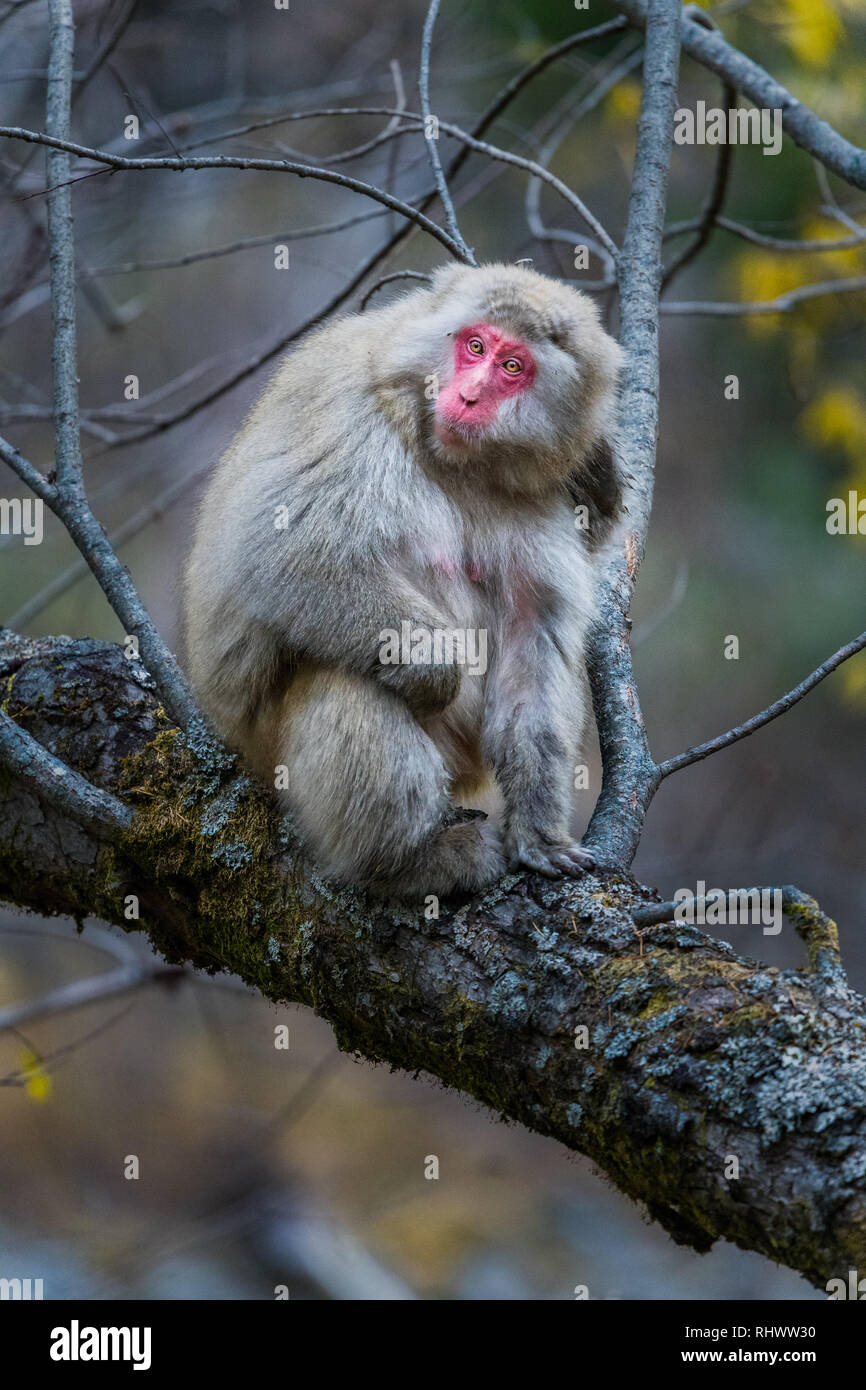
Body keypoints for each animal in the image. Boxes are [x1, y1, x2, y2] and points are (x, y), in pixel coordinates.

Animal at [183, 262, 624, 900]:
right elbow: (279, 556)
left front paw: (538, 833)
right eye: (475, 346)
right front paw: (436, 669)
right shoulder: (346, 409)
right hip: (269, 751)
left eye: (513, 367)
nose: (467, 396)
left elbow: (533, 638)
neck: (456, 459)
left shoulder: (554, 490)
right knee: (347, 673)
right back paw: (403, 862)